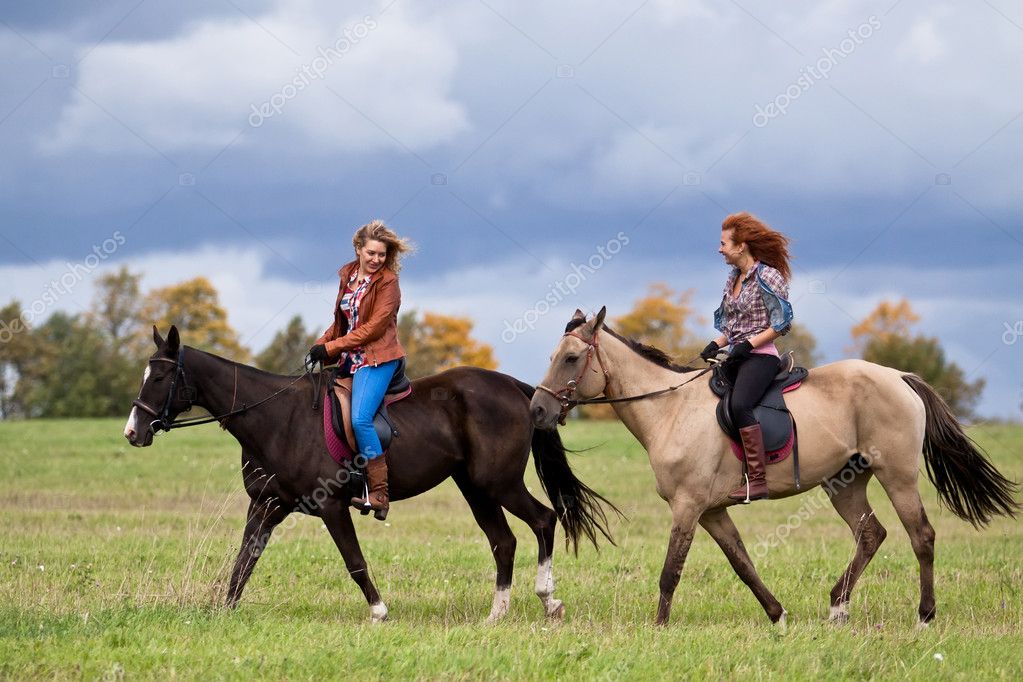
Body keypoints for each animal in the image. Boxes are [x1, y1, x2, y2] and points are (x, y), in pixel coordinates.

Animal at [123, 325, 618, 623]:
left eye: (160, 378)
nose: (133, 431)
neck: (276, 417)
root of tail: (518, 388)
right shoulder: (266, 504)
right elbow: (245, 560)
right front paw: (224, 611)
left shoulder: (329, 507)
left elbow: (354, 561)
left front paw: (379, 611)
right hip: (475, 488)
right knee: (504, 541)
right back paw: (496, 614)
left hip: (499, 483)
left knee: (543, 520)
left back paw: (548, 599)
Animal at [530, 307, 1019, 628]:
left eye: (571, 358)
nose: (537, 410)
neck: (669, 409)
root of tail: (899, 376)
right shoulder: (712, 511)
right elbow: (742, 563)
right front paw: (777, 615)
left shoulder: (688, 507)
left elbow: (671, 571)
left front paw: (659, 628)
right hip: (844, 482)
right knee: (871, 534)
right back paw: (837, 608)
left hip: (896, 475)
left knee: (921, 536)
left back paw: (924, 616)